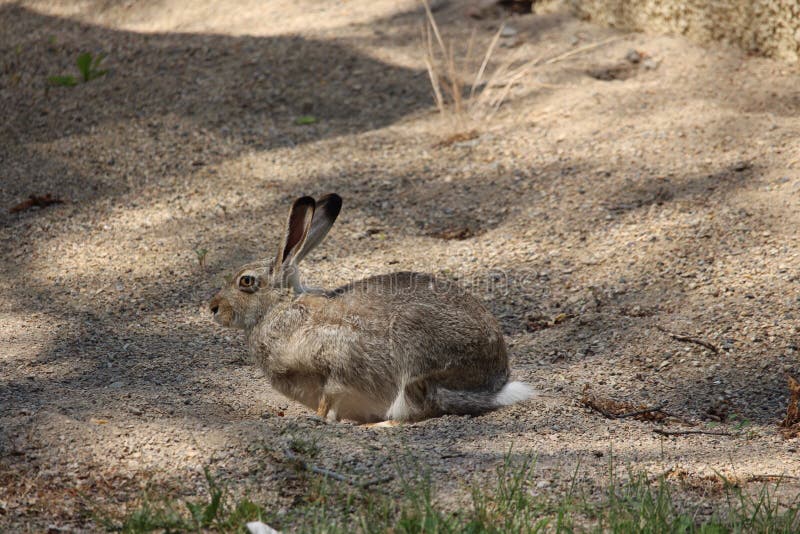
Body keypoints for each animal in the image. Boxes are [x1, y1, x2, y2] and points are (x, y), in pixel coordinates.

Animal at [209, 194, 534, 424]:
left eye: (246, 281)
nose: (213, 307)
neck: (280, 308)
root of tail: (494, 381)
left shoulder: (335, 361)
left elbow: (330, 396)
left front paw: (319, 420)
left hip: (416, 358)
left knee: (418, 406)